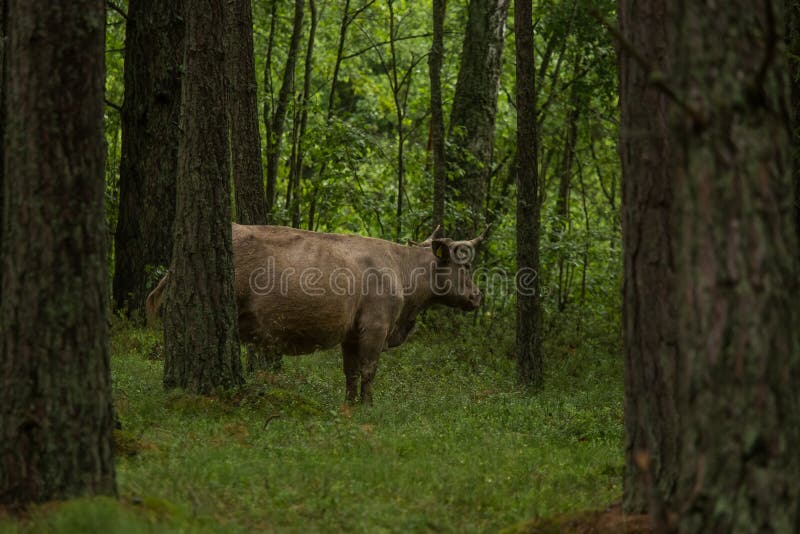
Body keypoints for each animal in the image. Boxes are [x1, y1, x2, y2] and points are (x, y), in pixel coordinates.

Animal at [146, 223, 487, 403]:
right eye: (466, 264)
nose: (477, 296)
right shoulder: (375, 326)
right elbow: (369, 370)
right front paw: (369, 406)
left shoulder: (352, 334)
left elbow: (350, 372)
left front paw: (350, 405)